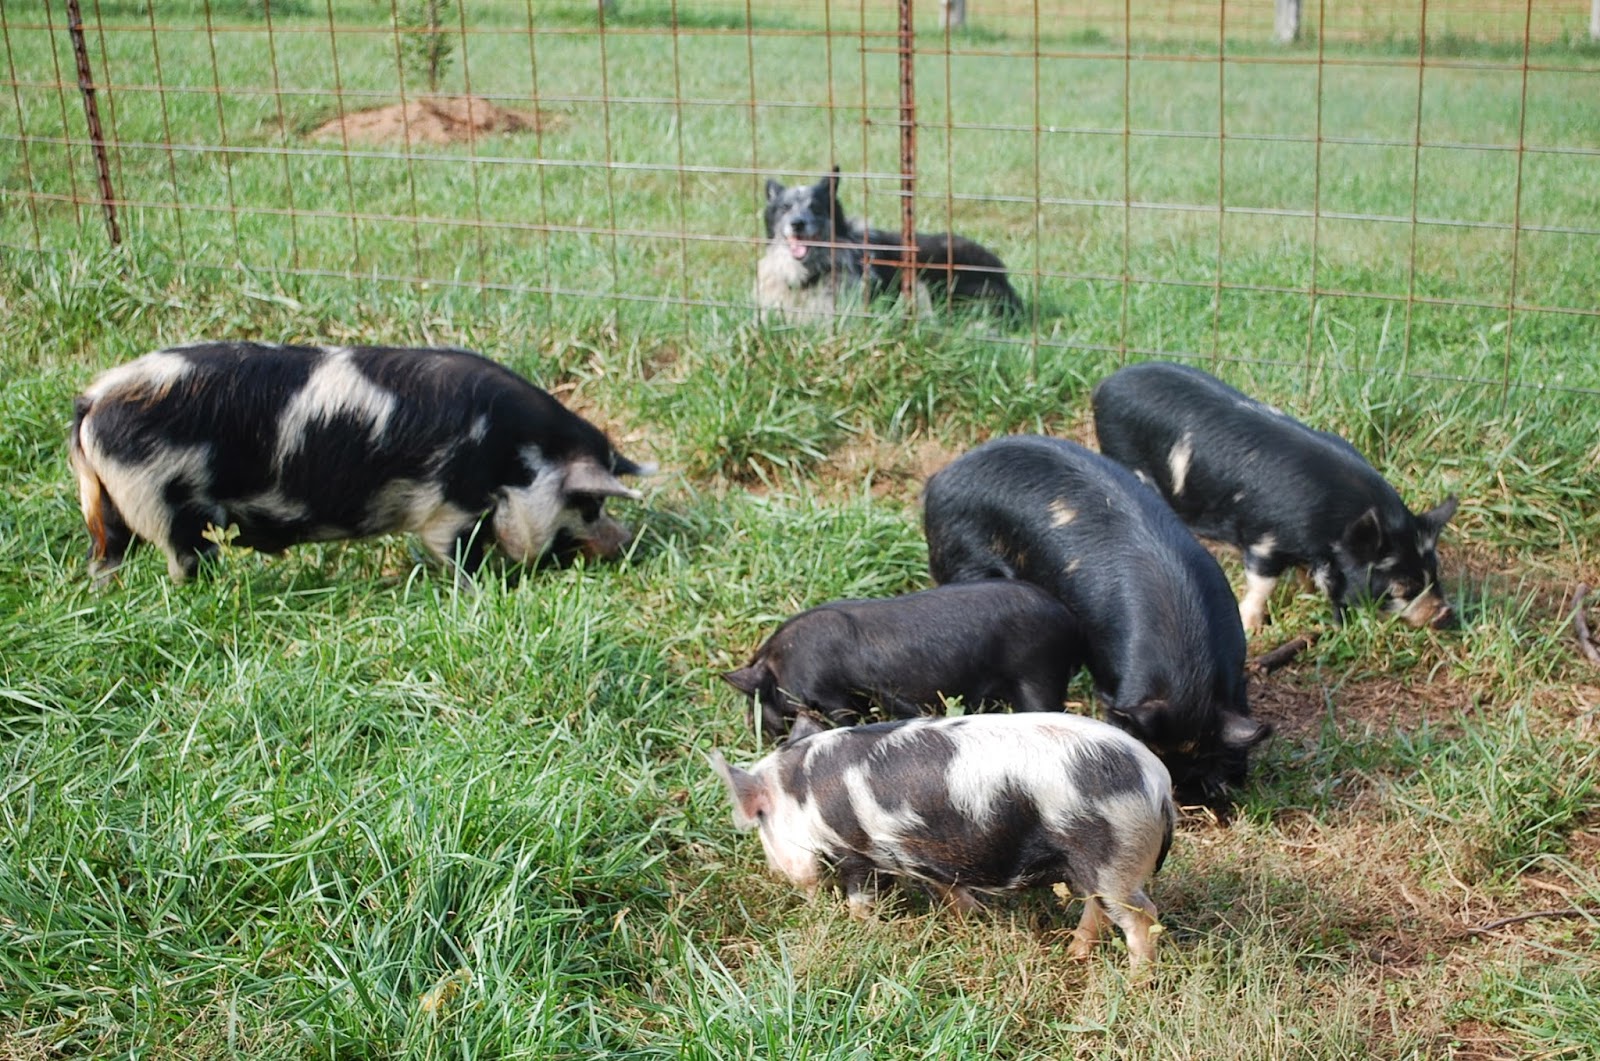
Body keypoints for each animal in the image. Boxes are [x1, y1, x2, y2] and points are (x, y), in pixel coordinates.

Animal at [69, 341, 652, 585]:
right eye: (590, 503)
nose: (626, 541)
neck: (513, 456)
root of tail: (93, 400)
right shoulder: (451, 506)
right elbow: (455, 556)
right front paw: (481, 591)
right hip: (161, 500)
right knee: (182, 559)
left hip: (114, 503)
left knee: (106, 557)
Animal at [709, 711, 1175, 968]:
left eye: (761, 823)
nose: (779, 874)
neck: (799, 793)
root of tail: (1157, 784)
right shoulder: (924, 852)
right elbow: (948, 888)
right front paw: (971, 921)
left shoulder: (855, 851)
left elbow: (861, 896)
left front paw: (864, 928)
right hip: (1094, 862)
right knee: (1097, 909)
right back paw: (1073, 955)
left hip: (1112, 853)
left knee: (1141, 917)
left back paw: (1136, 983)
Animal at [723, 581, 1089, 742]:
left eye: (757, 706)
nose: (757, 735)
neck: (782, 665)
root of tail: (1070, 621)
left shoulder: (831, 694)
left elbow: (843, 719)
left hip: (1037, 673)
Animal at [1091, 361, 1458, 633]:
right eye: (1401, 588)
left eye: (1434, 573)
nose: (1444, 614)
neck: (1331, 529)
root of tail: (1105, 384)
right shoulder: (1265, 540)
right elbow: (1261, 585)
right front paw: (1251, 628)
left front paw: (1307, 593)